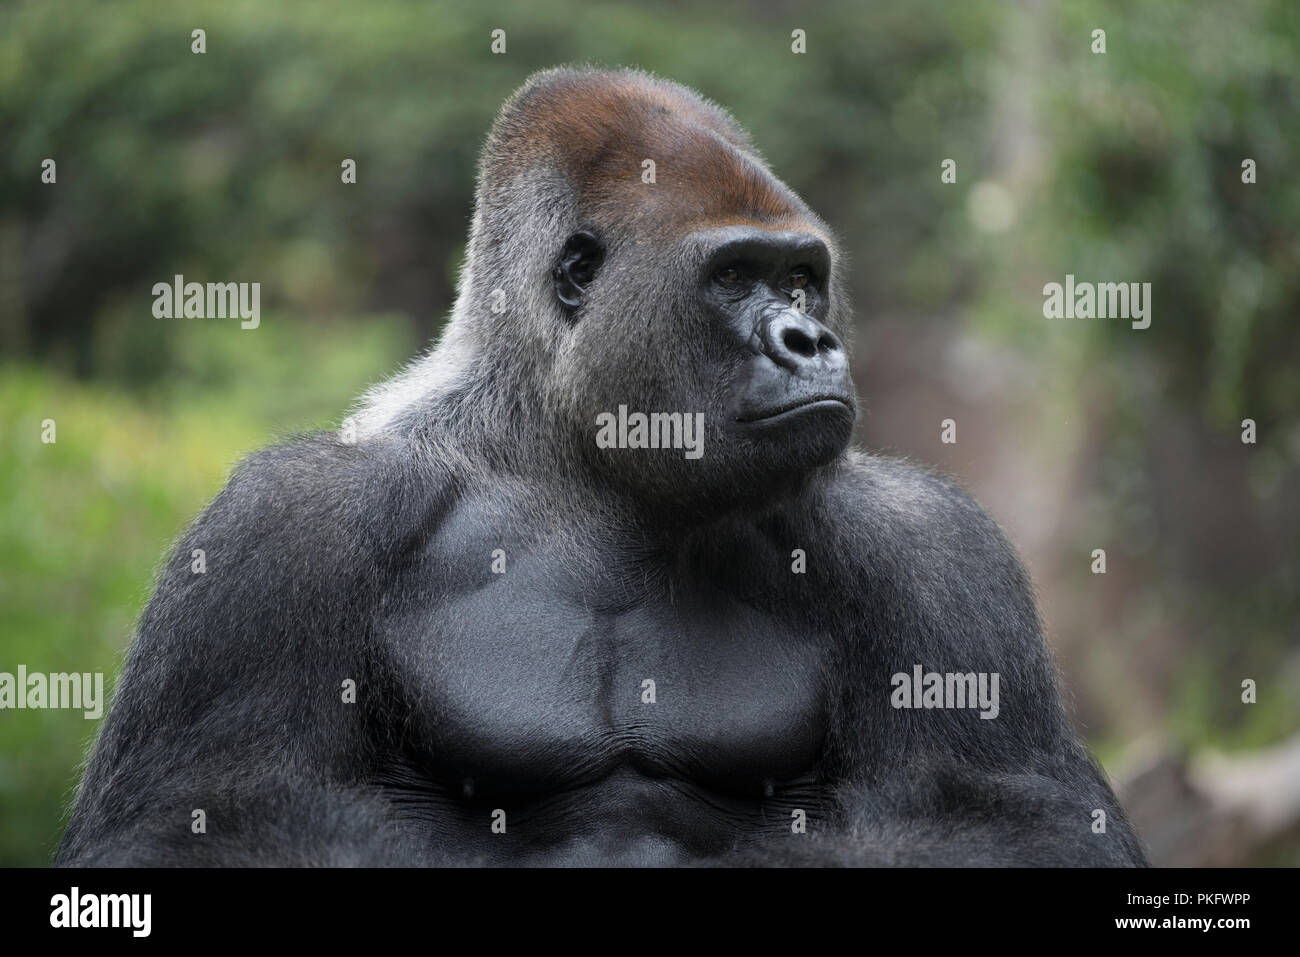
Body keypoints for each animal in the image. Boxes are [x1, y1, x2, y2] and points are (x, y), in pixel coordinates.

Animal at [57, 67, 1146, 866]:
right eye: (735, 277)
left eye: (801, 278)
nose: (809, 340)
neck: (572, 459)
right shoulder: (279, 526)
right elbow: (193, 824)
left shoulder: (927, 540)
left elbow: (1020, 823)